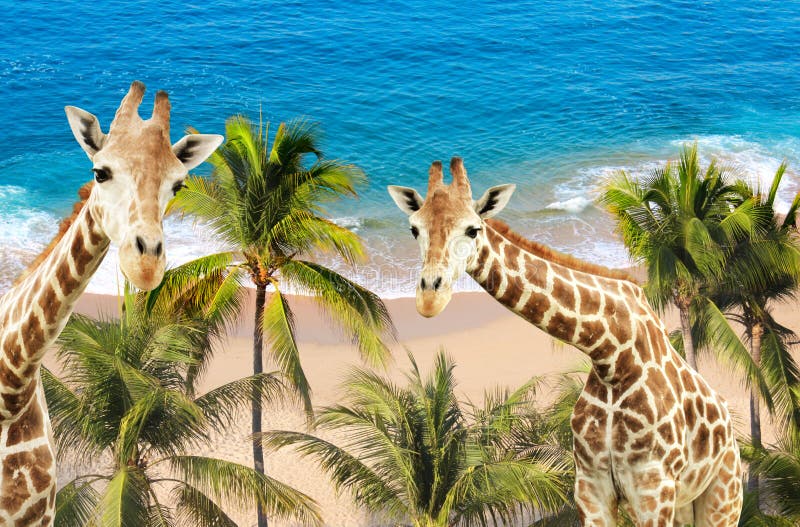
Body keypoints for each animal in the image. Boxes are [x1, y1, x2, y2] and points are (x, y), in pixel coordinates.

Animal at [388, 157, 743, 527]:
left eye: (473, 229)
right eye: (414, 229)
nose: (429, 299)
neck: (612, 357)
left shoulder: (653, 487)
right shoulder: (590, 485)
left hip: (722, 496)